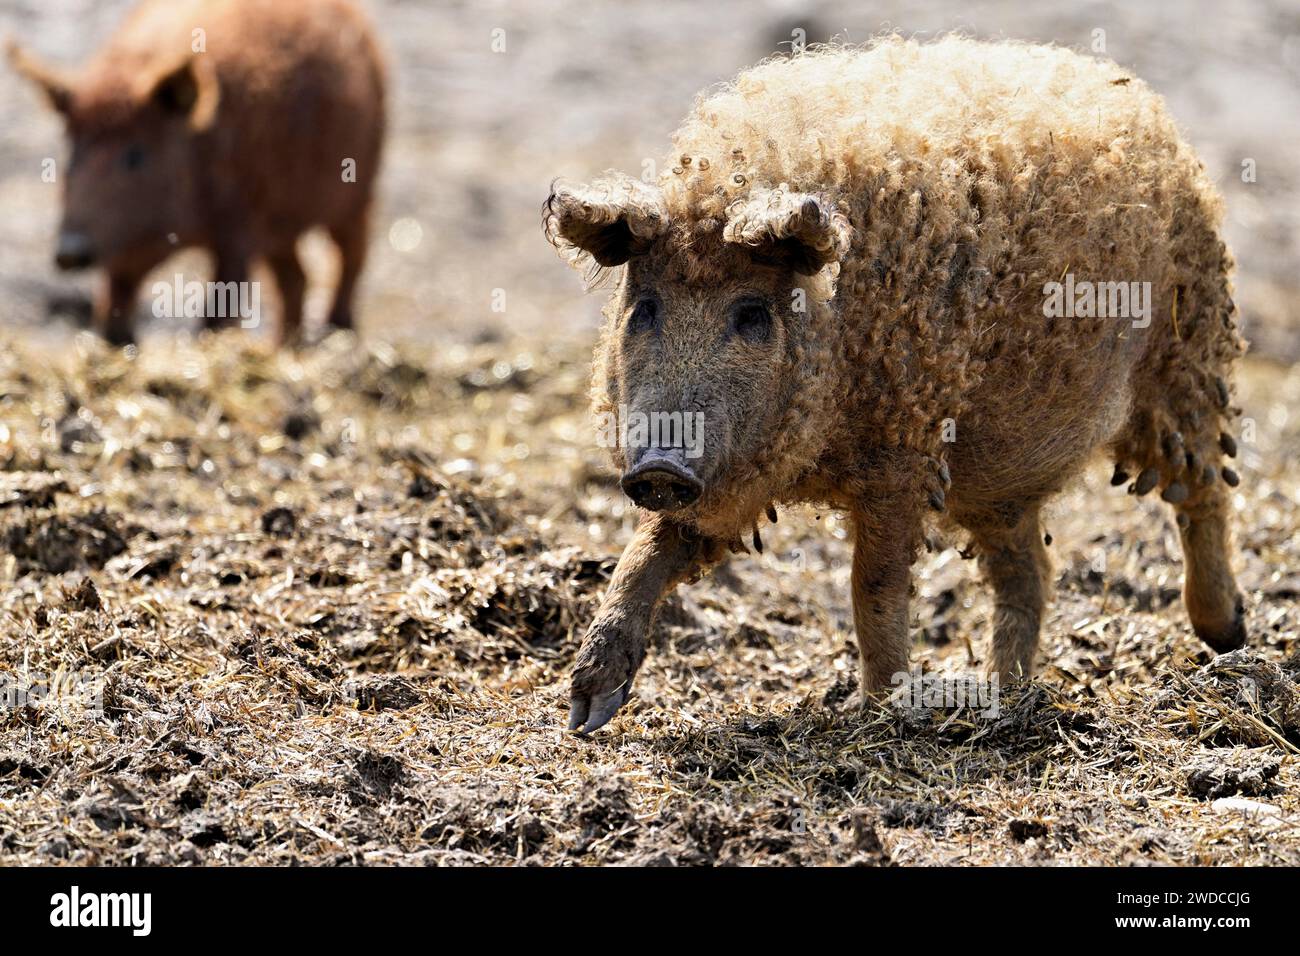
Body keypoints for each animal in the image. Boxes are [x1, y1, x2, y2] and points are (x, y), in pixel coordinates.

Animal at [9, 0, 386, 345]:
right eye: (72, 153)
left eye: (135, 155)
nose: (69, 251)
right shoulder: (130, 240)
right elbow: (117, 293)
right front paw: (119, 342)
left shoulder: (240, 223)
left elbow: (222, 303)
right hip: (282, 229)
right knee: (296, 278)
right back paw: (283, 347)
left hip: (360, 186)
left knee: (353, 255)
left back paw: (338, 332)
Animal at [546, 38, 1248, 733]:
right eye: (643, 308)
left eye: (751, 313)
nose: (660, 465)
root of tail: (1150, 112)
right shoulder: (727, 475)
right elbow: (647, 549)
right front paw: (585, 711)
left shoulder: (904, 448)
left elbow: (875, 581)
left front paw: (882, 710)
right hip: (993, 480)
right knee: (1030, 570)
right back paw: (1002, 696)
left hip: (1189, 356)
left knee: (1205, 489)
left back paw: (1226, 636)